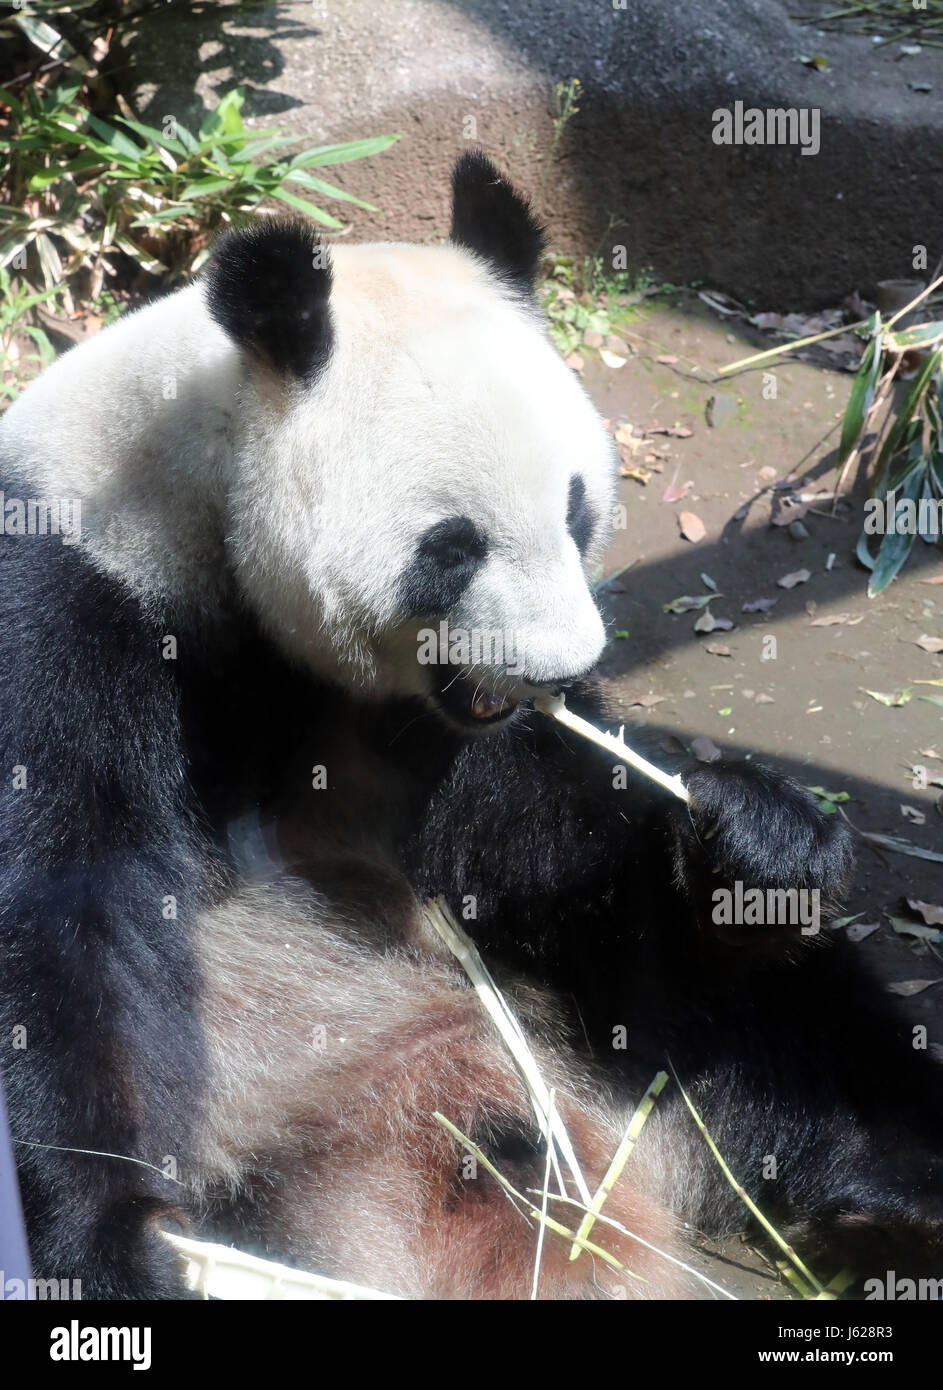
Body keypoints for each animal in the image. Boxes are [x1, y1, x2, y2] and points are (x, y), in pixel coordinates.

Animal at [1, 151, 941, 1301]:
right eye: (452, 545)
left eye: (577, 509)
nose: (566, 667)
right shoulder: (72, 600)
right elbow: (70, 914)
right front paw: (118, 1245)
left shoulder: (431, 733)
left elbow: (531, 844)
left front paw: (748, 839)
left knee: (786, 1015)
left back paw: (895, 1195)